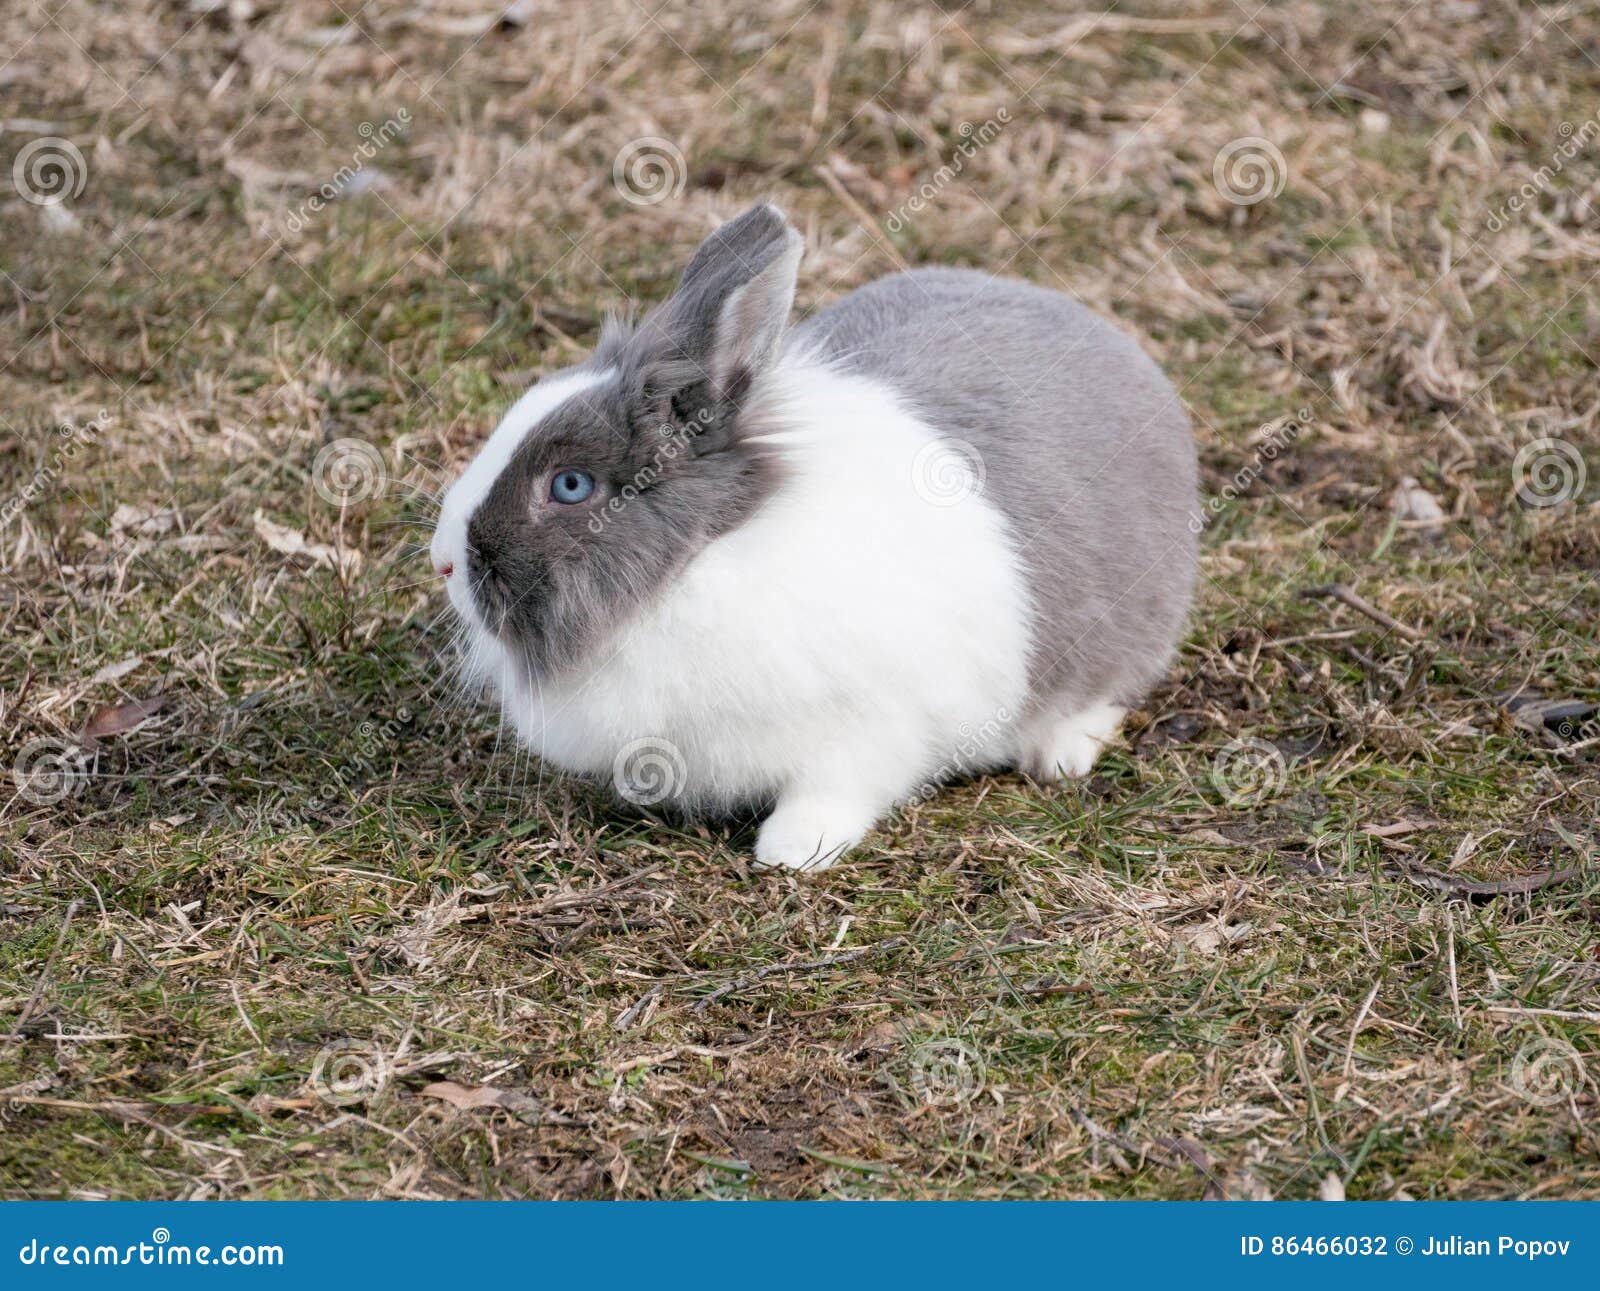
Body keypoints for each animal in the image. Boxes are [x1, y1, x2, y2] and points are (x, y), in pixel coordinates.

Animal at [430, 202, 1197, 871]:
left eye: (570, 485)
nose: (443, 563)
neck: (700, 561)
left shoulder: (868, 731)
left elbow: (833, 791)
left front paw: (792, 853)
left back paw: (1058, 755)